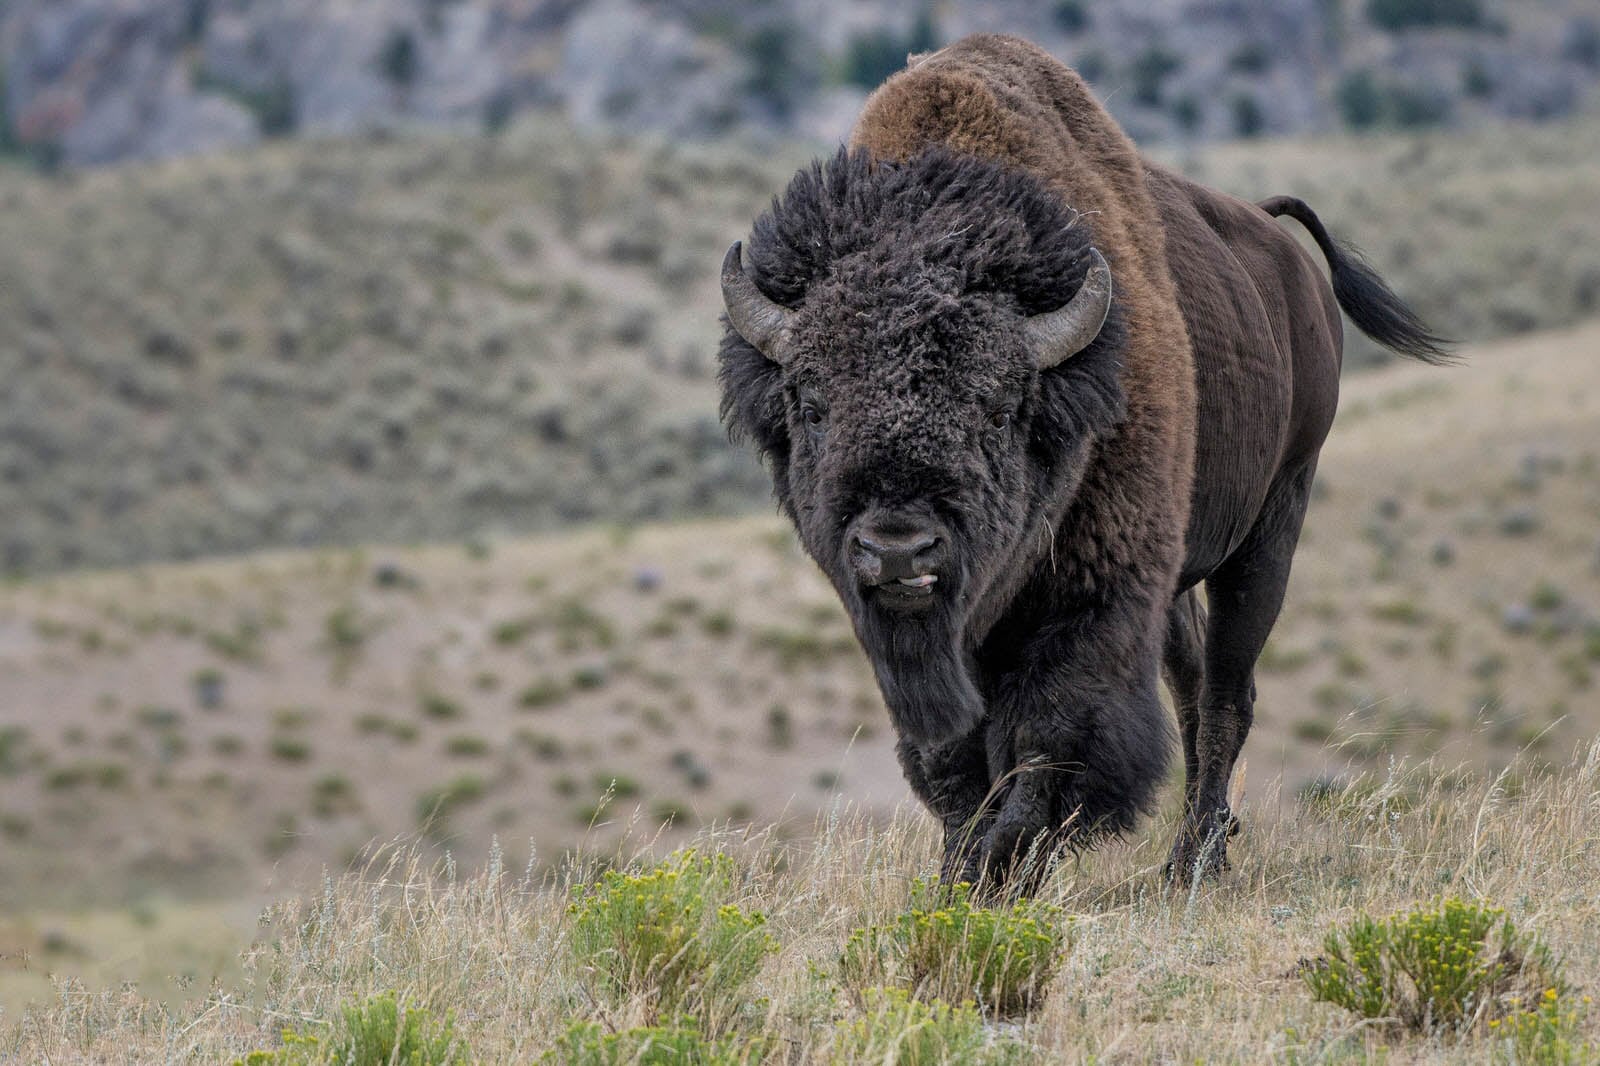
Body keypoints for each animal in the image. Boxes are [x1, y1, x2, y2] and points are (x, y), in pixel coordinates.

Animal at [718, 34, 1449, 888]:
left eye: (1000, 409)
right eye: (810, 404)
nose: (898, 549)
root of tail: (1280, 249)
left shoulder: (1096, 595)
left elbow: (1049, 739)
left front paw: (1000, 869)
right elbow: (953, 760)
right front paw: (961, 871)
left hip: (1273, 523)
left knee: (1228, 691)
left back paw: (1193, 862)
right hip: (1181, 575)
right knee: (1192, 683)